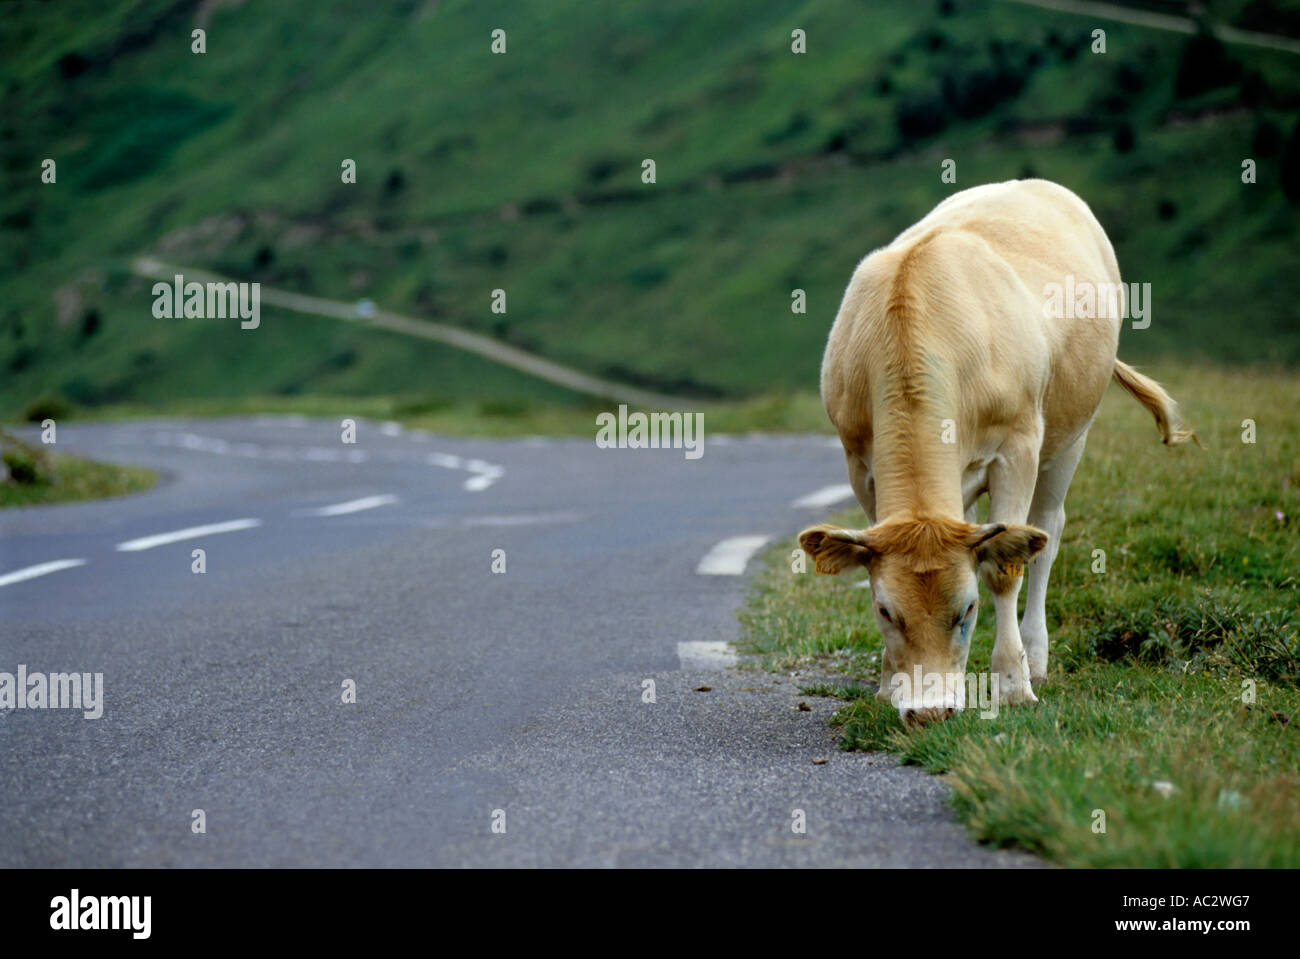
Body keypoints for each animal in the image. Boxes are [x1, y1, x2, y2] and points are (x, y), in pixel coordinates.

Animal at [798, 179, 1194, 725]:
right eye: (884, 611)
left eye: (966, 609)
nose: (930, 712)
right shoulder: (861, 466)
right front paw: (886, 685)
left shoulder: (1017, 449)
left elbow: (1003, 571)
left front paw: (1012, 683)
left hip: (1070, 436)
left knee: (1046, 533)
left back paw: (1036, 657)